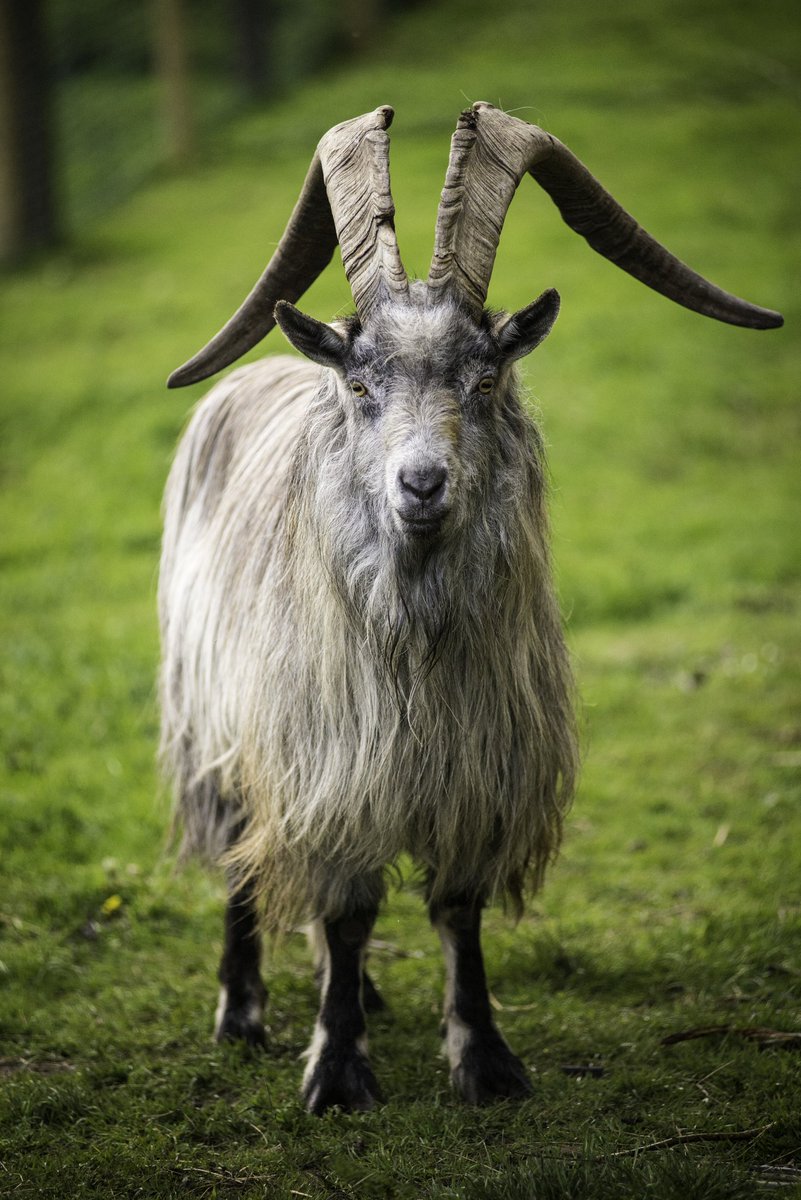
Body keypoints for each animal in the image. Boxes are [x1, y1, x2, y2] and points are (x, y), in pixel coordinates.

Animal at [160, 104, 782, 1112]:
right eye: (360, 384)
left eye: (484, 380)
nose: (421, 485)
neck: (418, 647)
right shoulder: (333, 761)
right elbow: (347, 906)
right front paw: (336, 1071)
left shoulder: (475, 771)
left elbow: (456, 909)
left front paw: (484, 1060)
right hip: (213, 725)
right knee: (244, 860)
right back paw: (242, 1013)